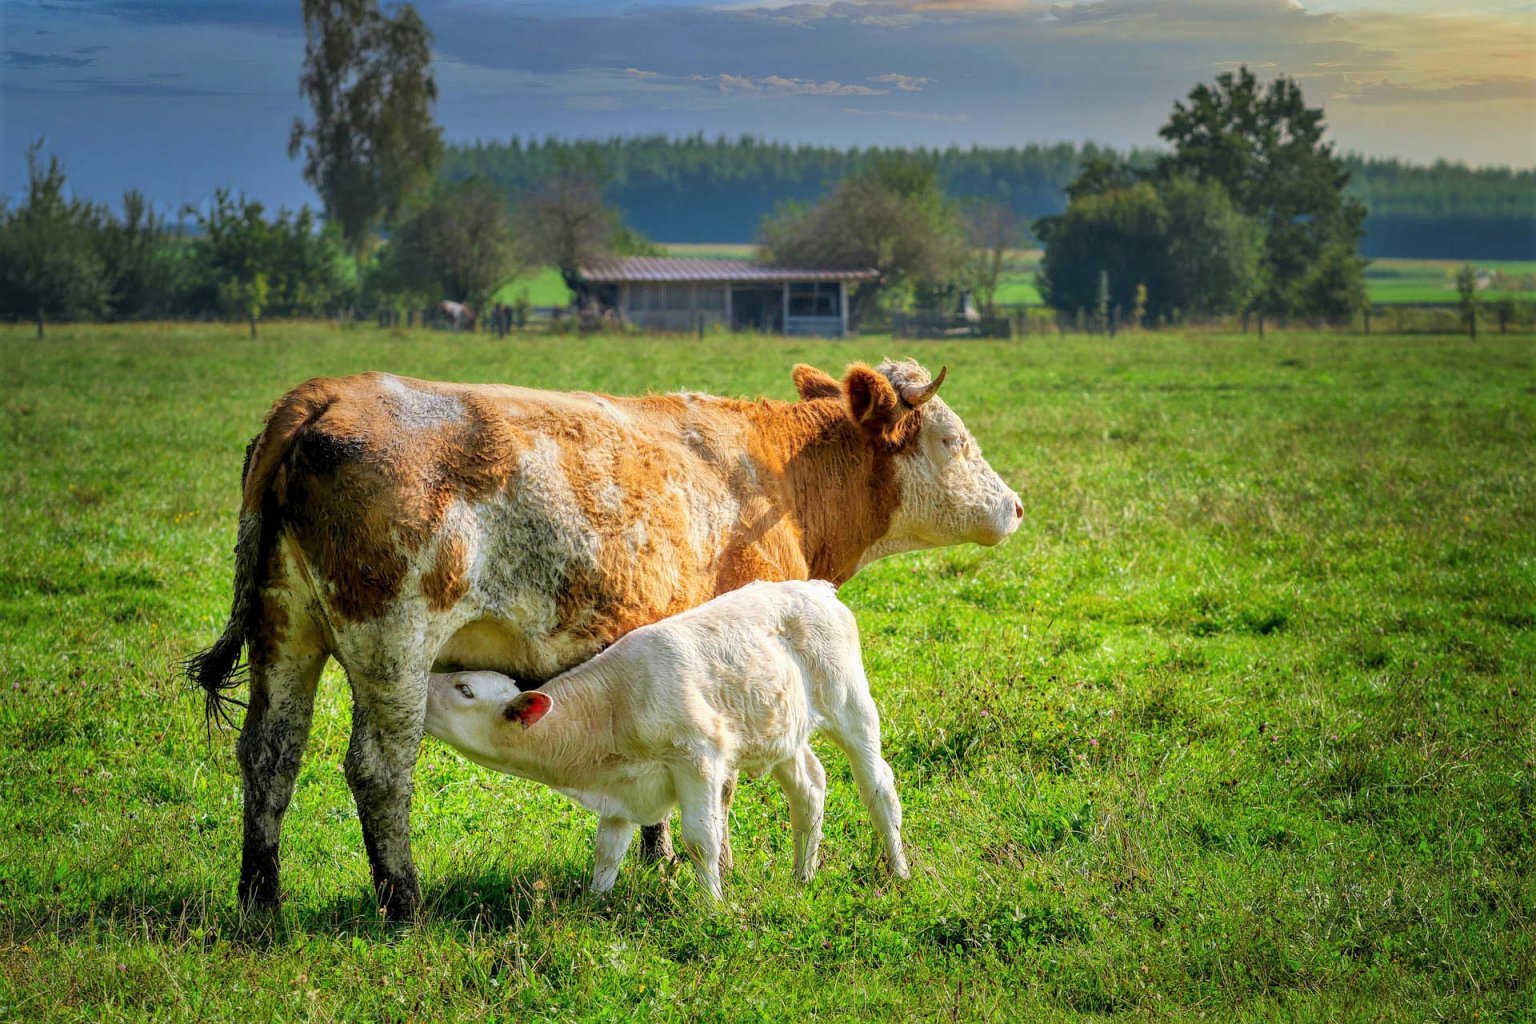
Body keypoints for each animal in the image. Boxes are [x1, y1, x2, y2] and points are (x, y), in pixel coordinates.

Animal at [188, 358, 1022, 918]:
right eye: (952, 439)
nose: (1014, 505)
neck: (776, 476)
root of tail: (326, 393)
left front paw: (655, 857)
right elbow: (718, 799)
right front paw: (711, 867)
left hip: (285, 633)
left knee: (270, 754)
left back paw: (261, 902)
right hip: (392, 644)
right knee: (379, 771)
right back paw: (404, 902)